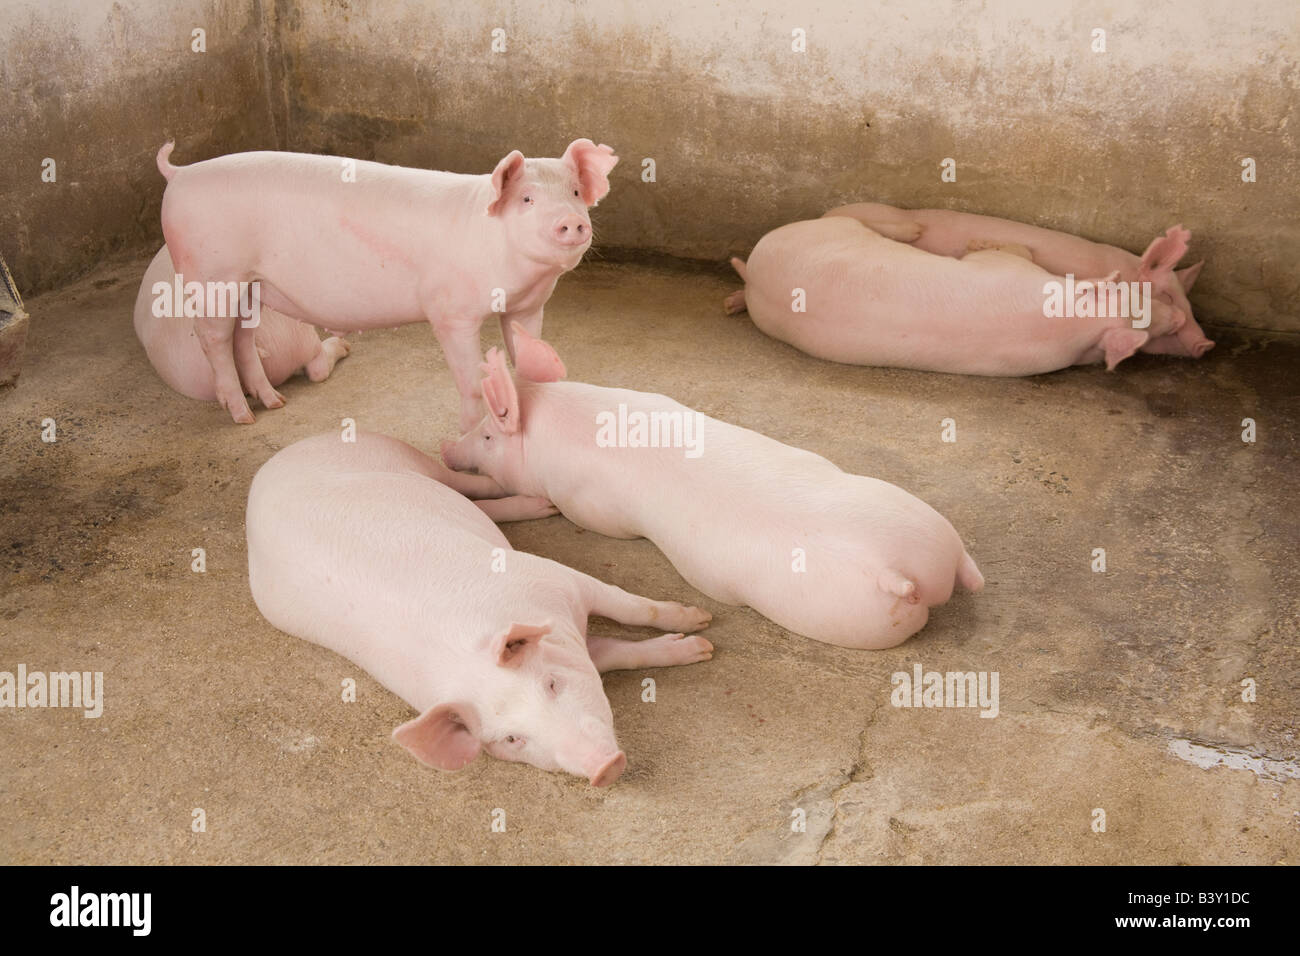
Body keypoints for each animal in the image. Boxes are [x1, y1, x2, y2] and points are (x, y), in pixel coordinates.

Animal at [157, 138, 617, 429]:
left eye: (576, 193)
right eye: (527, 199)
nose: (572, 220)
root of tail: (179, 174)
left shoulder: (528, 306)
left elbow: (527, 361)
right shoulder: (449, 311)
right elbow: (469, 382)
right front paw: (469, 431)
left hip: (250, 285)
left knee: (243, 337)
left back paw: (272, 403)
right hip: (210, 274)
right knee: (215, 339)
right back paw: (243, 417)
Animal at [246, 431, 713, 786]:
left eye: (551, 684)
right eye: (511, 740)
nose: (605, 768)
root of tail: (282, 456)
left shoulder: (556, 578)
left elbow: (629, 606)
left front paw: (701, 627)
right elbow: (617, 653)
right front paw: (699, 646)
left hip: (398, 456)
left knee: (460, 480)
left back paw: (543, 503)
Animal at [724, 214, 1191, 375]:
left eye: (1151, 334)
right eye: (1132, 291)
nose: (1185, 323)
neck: (1070, 322)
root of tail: (755, 272)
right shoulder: (1010, 270)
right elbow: (1009, 252)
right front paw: (979, 242)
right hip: (828, 227)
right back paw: (915, 230)